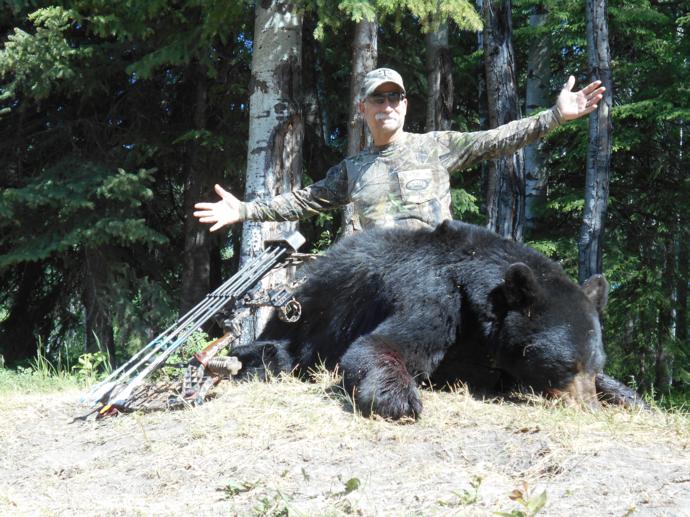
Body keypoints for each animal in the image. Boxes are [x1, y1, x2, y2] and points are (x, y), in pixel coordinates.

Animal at [232, 220, 641, 419]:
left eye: (594, 364)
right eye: (567, 366)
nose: (588, 407)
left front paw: (628, 397)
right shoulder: (435, 296)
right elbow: (381, 345)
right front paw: (399, 400)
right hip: (298, 326)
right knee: (270, 354)